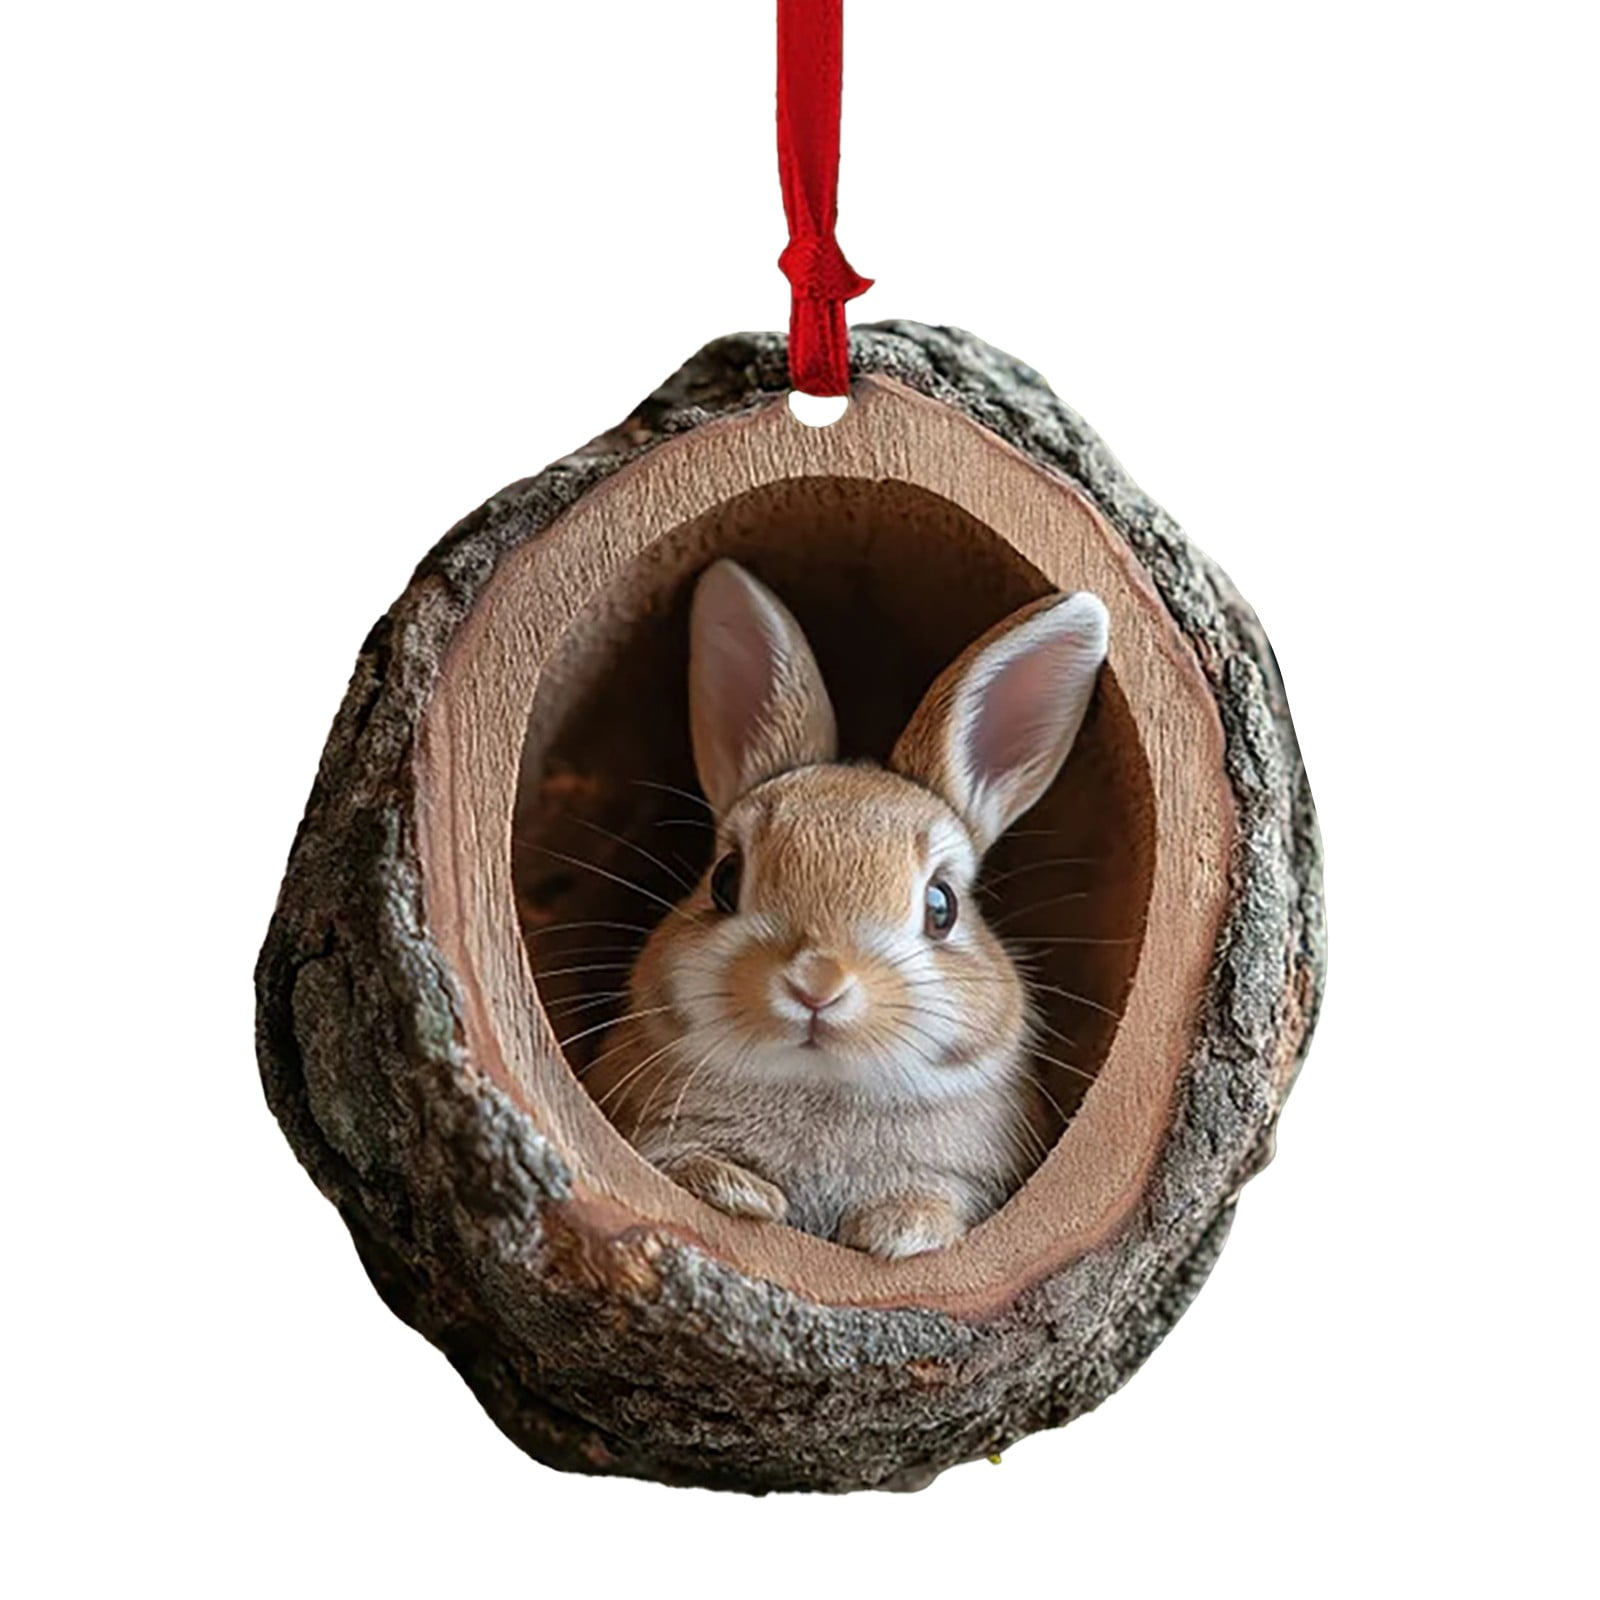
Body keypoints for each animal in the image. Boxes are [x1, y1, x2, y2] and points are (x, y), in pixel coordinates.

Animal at [583, 559, 1110, 1259]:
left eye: (941, 906)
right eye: (726, 879)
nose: (817, 983)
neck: (819, 1083)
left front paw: (899, 1228)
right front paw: (741, 1193)